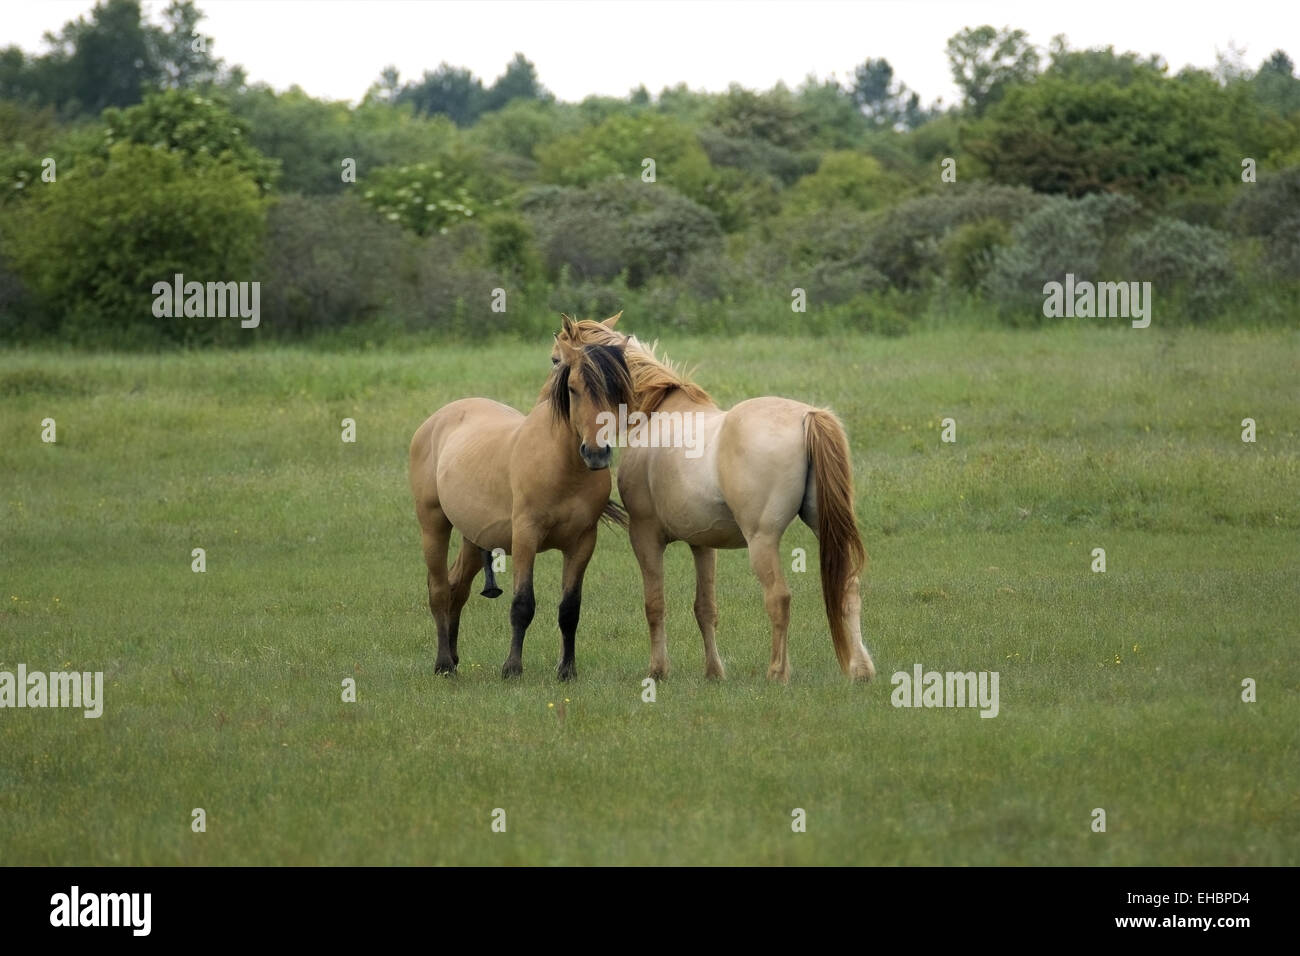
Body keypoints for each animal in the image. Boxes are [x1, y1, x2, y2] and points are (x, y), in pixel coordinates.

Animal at [408, 320, 633, 680]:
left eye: (616, 392)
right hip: (433, 525)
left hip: (474, 536)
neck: (562, 465)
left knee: (457, 588)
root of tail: (436, 419)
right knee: (439, 589)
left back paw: (454, 657)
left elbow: (570, 609)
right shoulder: (526, 536)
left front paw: (567, 670)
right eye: (573, 389)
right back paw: (443, 664)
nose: (596, 453)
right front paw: (512, 668)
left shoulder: (583, 542)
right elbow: (522, 604)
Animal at [552, 313, 876, 683]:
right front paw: (714, 672)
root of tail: (807, 416)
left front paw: (658, 670)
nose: (594, 453)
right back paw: (861, 669)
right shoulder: (703, 543)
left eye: (557, 362)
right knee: (849, 588)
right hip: (823, 527)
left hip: (762, 540)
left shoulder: (645, 535)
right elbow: (705, 608)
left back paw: (777, 672)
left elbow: (654, 603)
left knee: (779, 598)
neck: (656, 411)